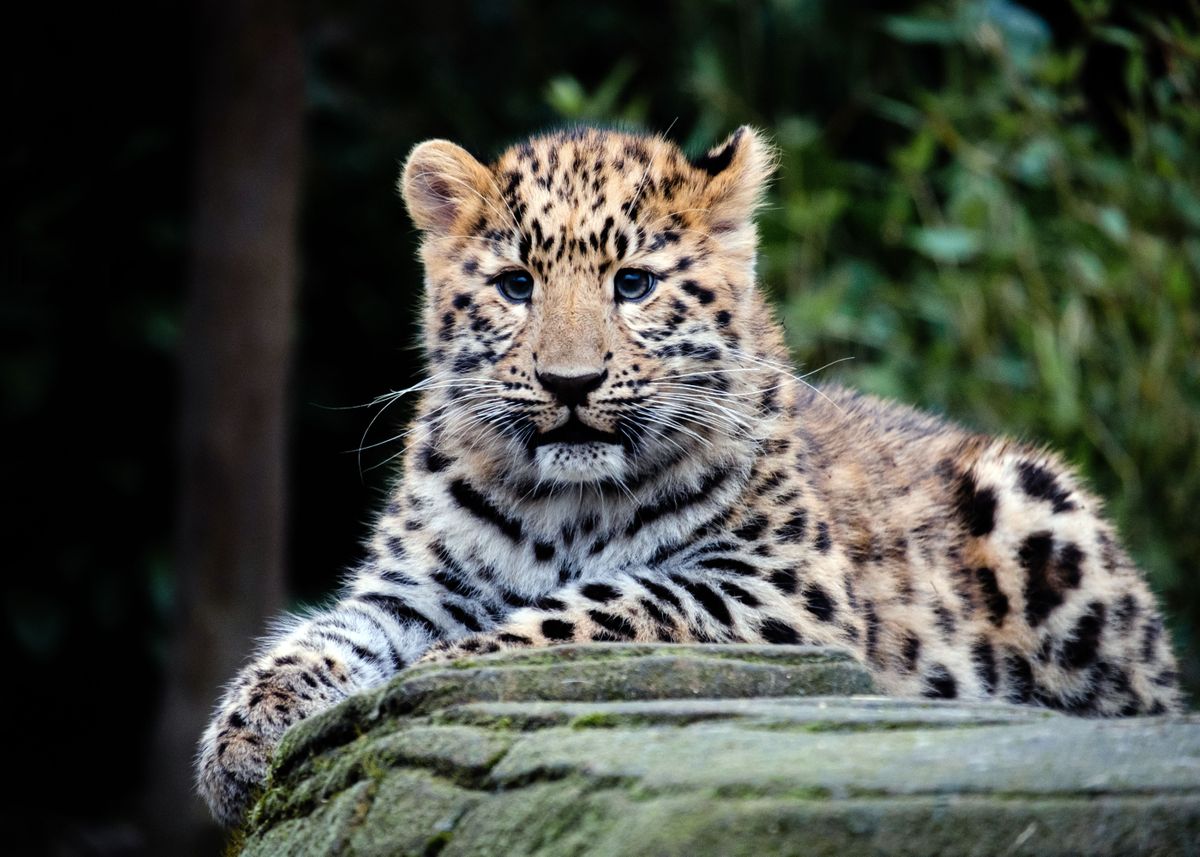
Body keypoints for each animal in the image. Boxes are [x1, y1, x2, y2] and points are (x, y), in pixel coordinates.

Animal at [197, 125, 1182, 827]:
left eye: (633, 284)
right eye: (517, 285)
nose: (570, 383)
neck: (568, 506)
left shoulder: (779, 589)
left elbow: (603, 603)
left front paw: (452, 666)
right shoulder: (418, 586)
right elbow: (326, 636)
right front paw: (244, 739)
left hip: (1037, 504)